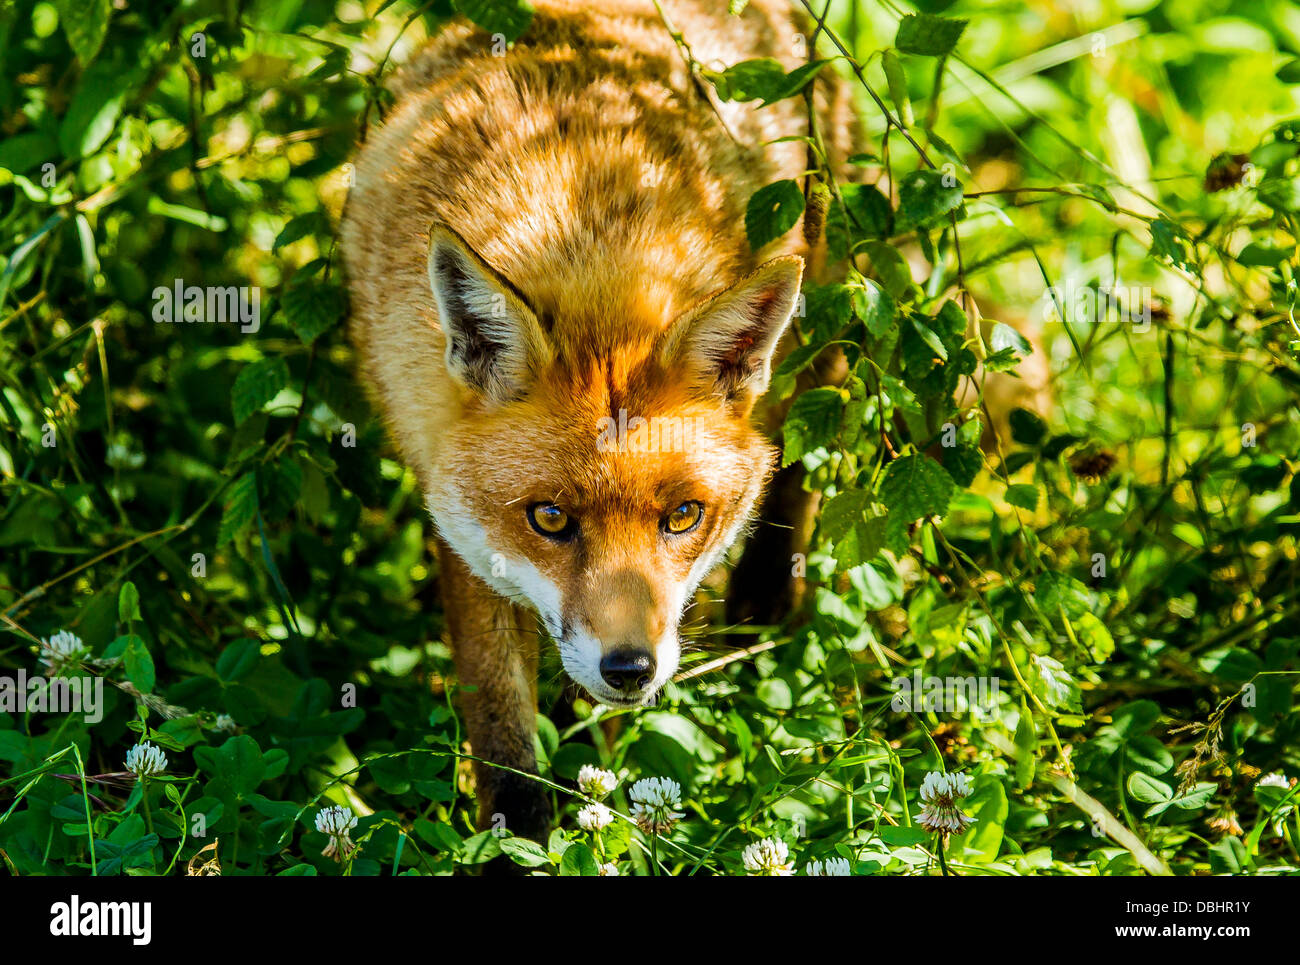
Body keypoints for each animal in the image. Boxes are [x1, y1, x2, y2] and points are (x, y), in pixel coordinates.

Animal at [341, 0, 857, 845]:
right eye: (549, 518)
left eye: (684, 515)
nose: (630, 668)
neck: (587, 243)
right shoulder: (461, 529)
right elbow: (502, 728)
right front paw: (518, 839)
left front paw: (600, 819)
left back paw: (766, 611)